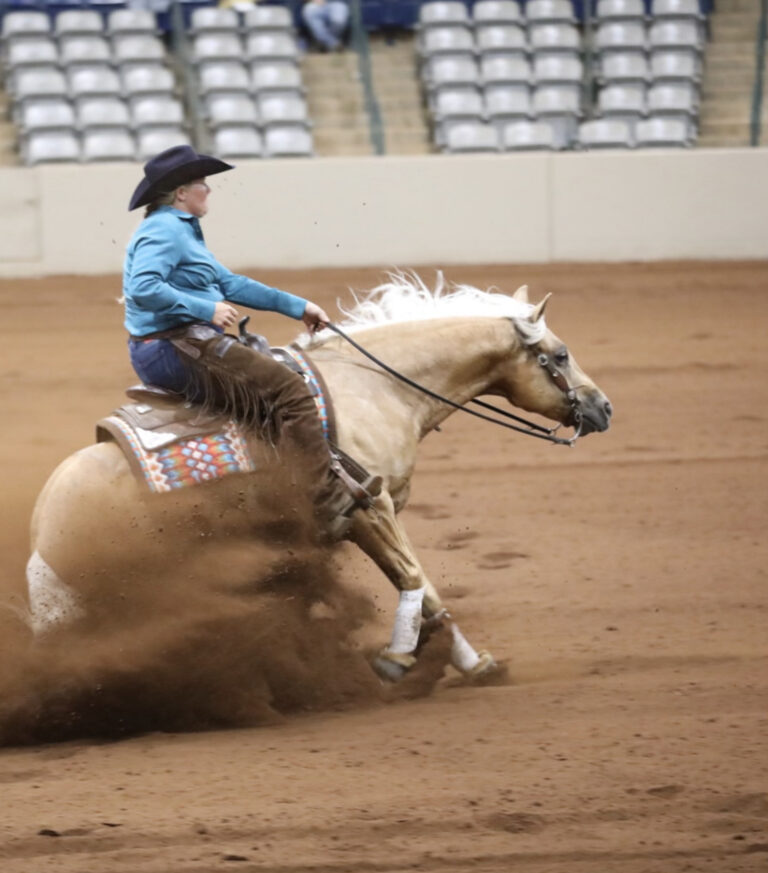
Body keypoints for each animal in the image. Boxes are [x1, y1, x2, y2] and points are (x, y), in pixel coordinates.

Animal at [24, 273, 612, 682]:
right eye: (560, 354)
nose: (603, 407)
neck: (378, 388)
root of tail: (41, 536)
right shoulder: (371, 507)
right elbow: (415, 579)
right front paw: (399, 658)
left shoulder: (365, 518)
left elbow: (425, 588)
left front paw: (472, 663)